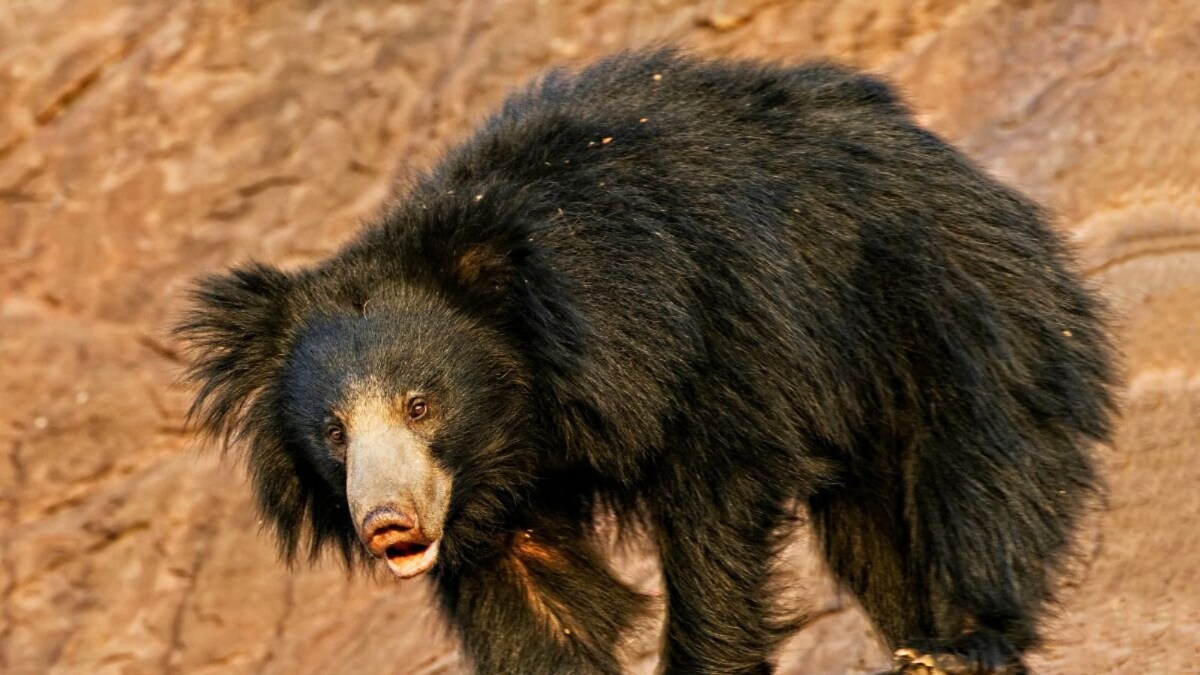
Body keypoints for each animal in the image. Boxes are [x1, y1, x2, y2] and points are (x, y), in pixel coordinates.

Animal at [177, 50, 1116, 675]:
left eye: (420, 404)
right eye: (333, 431)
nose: (387, 522)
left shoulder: (714, 337)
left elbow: (717, 518)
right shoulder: (497, 493)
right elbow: (533, 590)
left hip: (944, 300)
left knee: (985, 468)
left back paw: (963, 642)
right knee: (874, 533)